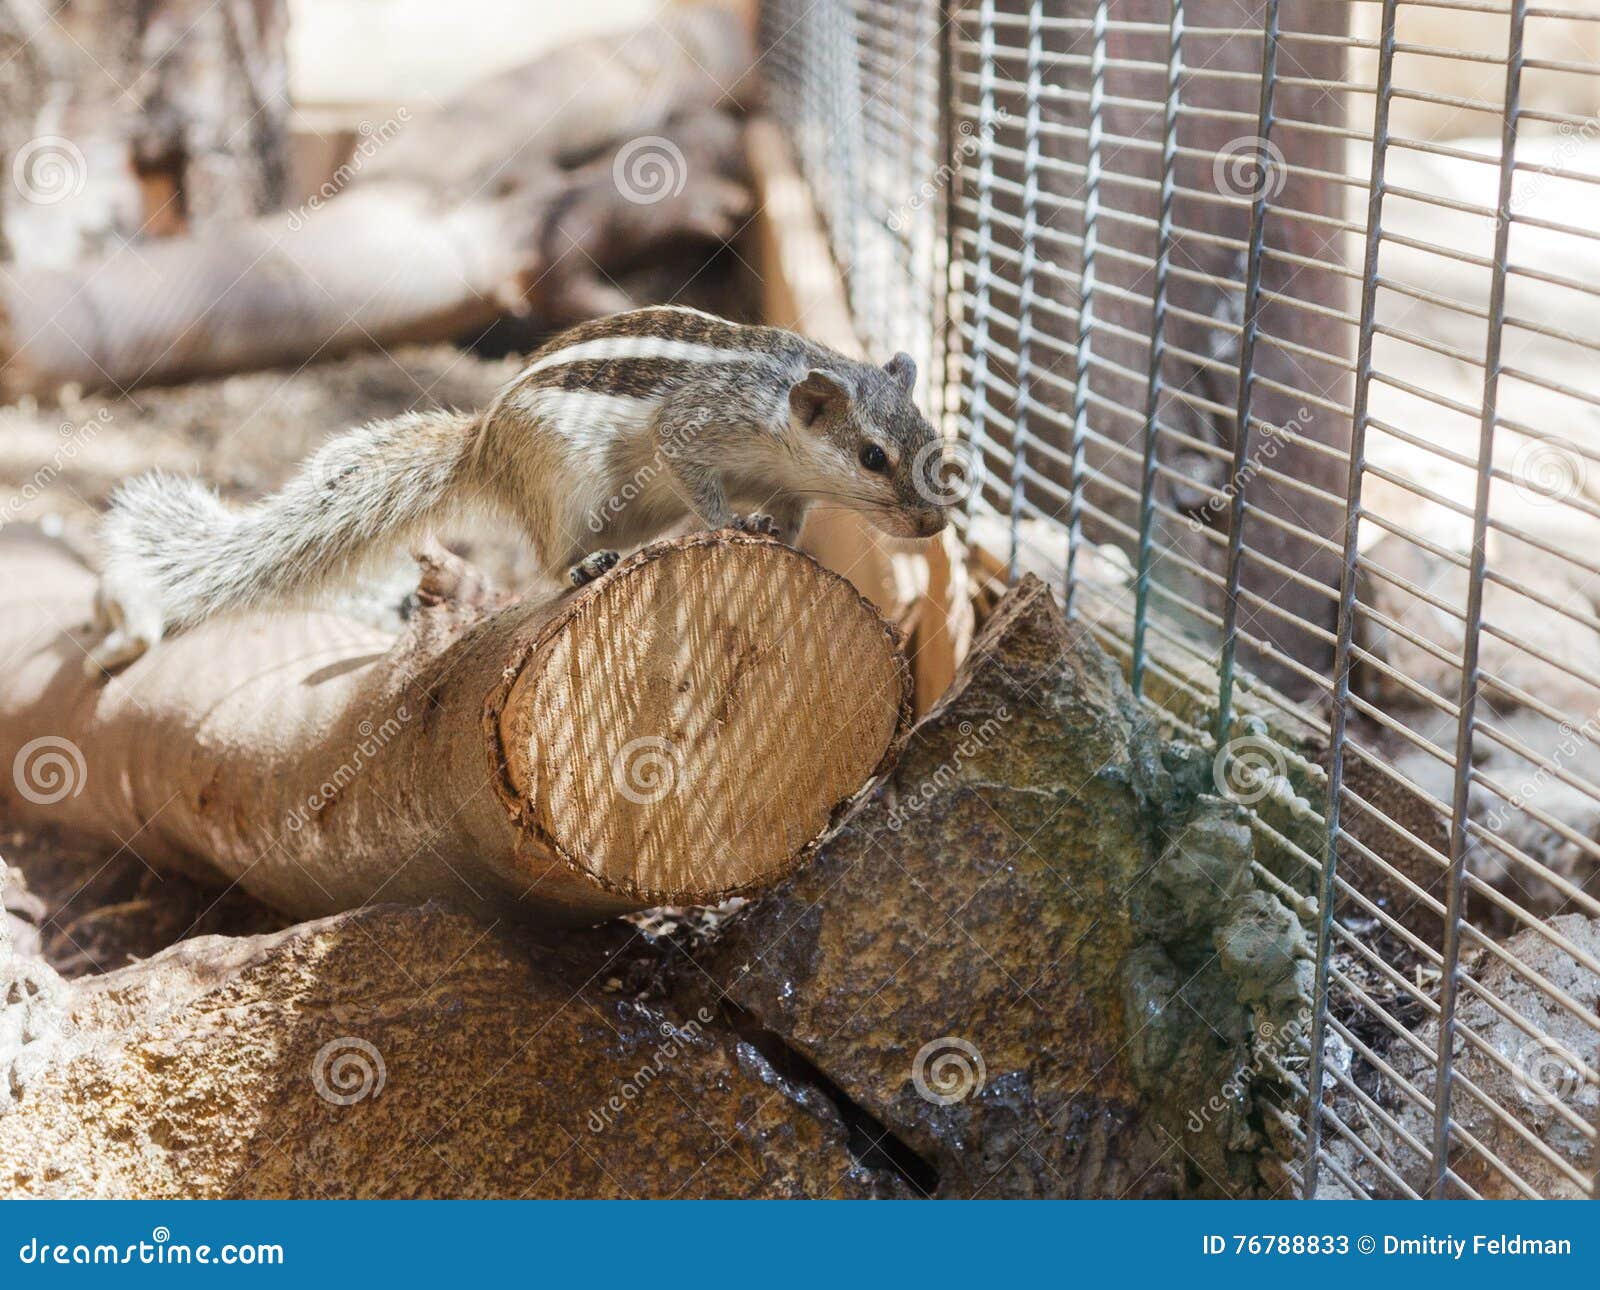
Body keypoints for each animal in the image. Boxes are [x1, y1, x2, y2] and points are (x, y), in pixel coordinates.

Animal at [87, 305, 953, 673]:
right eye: (872, 457)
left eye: (929, 442)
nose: (934, 525)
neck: (776, 408)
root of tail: (484, 443)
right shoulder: (692, 428)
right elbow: (696, 475)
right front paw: (734, 522)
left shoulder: (792, 484)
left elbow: (794, 514)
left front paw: (789, 541)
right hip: (564, 482)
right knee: (547, 556)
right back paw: (580, 567)